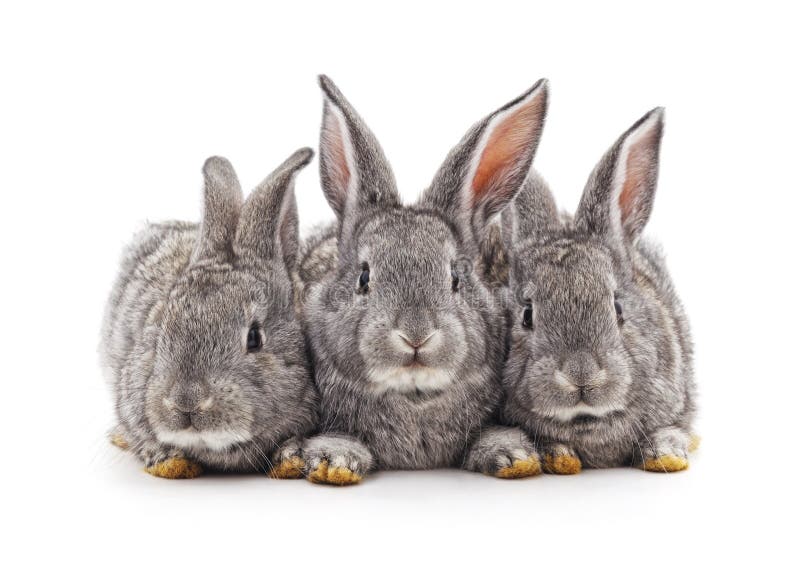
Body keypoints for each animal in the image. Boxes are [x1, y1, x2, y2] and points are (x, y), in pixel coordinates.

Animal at [300, 75, 549, 485]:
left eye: (455, 278)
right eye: (364, 277)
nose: (416, 335)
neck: (415, 398)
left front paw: (512, 455)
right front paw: (334, 461)